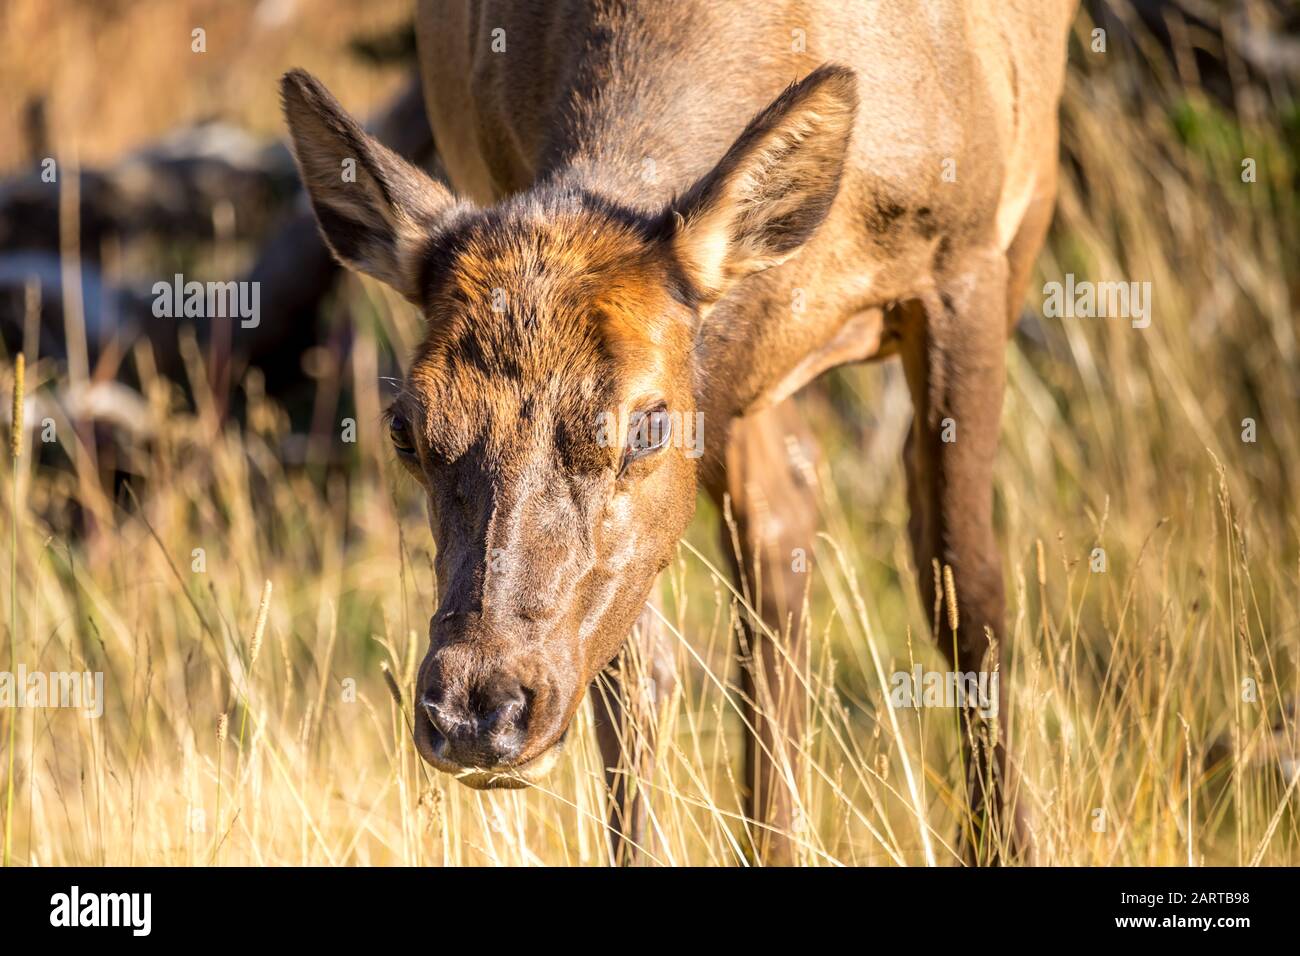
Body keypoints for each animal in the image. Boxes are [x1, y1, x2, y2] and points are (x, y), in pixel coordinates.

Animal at [281, 0, 1078, 865]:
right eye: (406, 427)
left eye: (648, 423)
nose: (473, 708)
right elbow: (634, 677)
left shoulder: (968, 258)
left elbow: (967, 592)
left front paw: (1008, 841)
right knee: (778, 524)